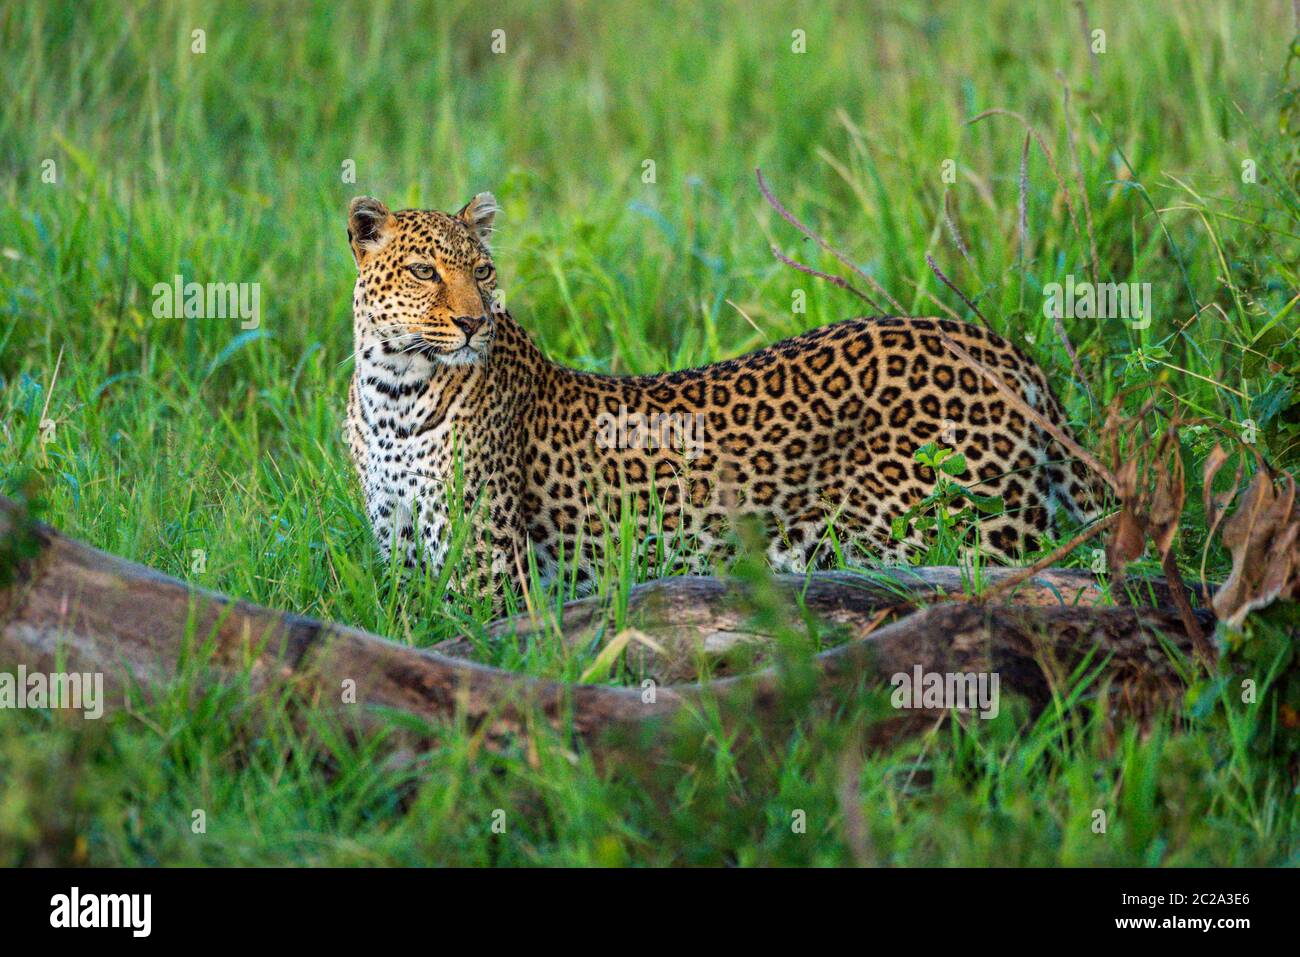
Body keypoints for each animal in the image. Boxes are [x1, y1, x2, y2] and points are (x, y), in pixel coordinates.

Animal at [344, 192, 1105, 598]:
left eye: (483, 270)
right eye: (423, 271)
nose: (475, 322)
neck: (395, 394)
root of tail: (999, 347)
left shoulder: (487, 566)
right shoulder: (400, 552)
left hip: (951, 529)